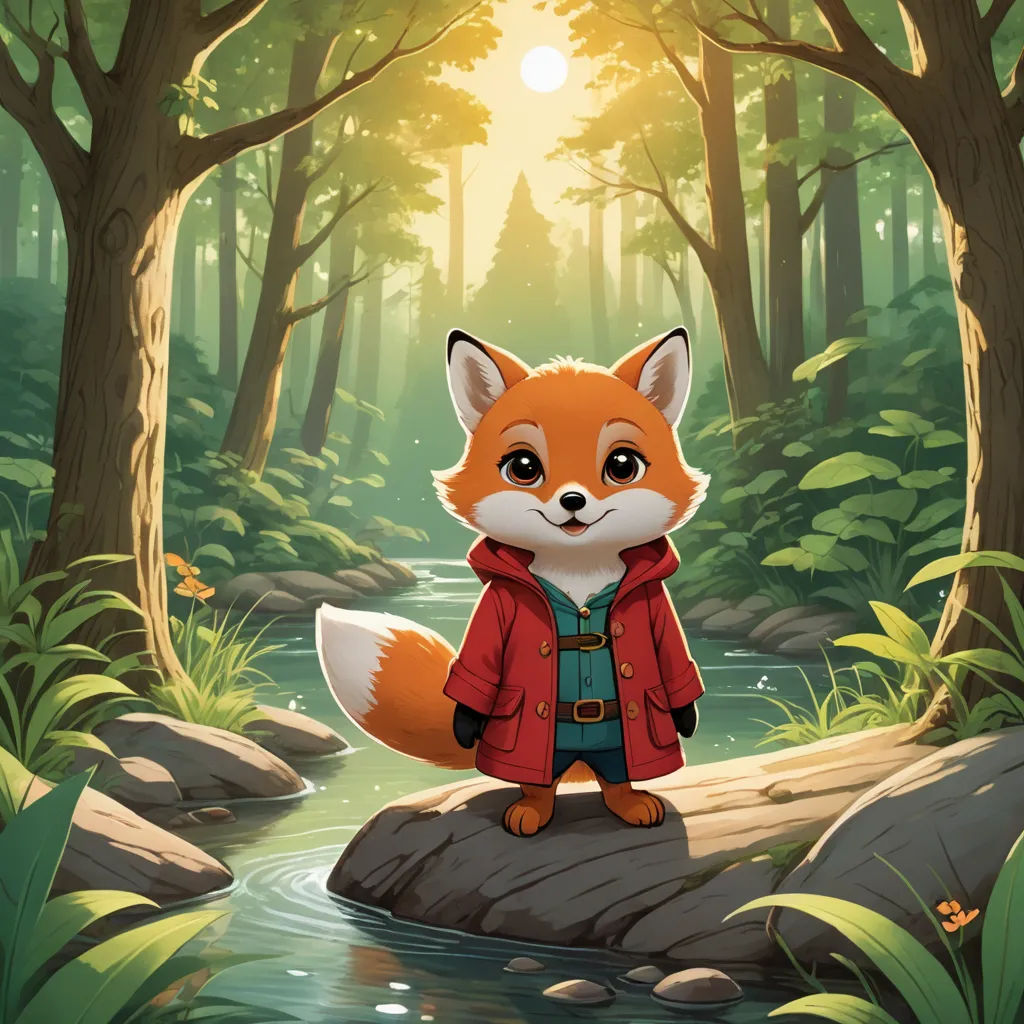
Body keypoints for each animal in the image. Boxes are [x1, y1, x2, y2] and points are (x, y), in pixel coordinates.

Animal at [316, 326, 708, 837]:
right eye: (523, 467)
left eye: (623, 465)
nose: (573, 501)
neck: (577, 572)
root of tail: (578, 770)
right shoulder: (498, 606)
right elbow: (479, 668)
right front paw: (466, 724)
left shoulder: (654, 606)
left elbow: (672, 660)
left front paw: (687, 716)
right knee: (538, 780)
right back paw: (531, 810)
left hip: (618, 747)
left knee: (616, 773)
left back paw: (629, 803)